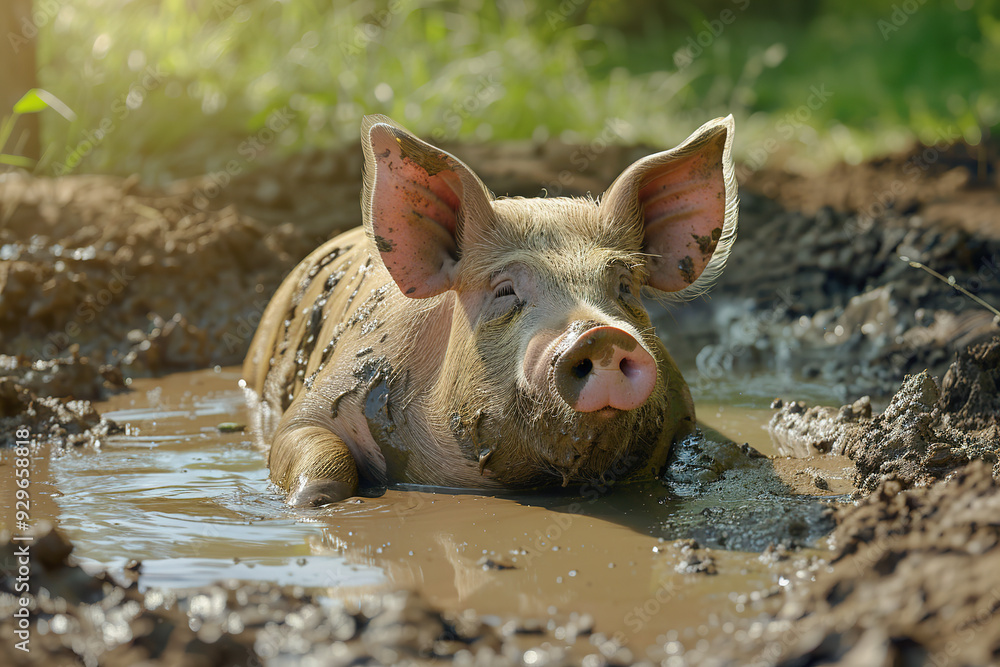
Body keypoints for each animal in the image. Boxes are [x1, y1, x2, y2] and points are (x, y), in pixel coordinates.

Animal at [242, 114, 738, 507]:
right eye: (504, 290)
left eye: (624, 286)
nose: (601, 335)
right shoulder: (329, 390)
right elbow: (311, 446)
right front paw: (312, 503)